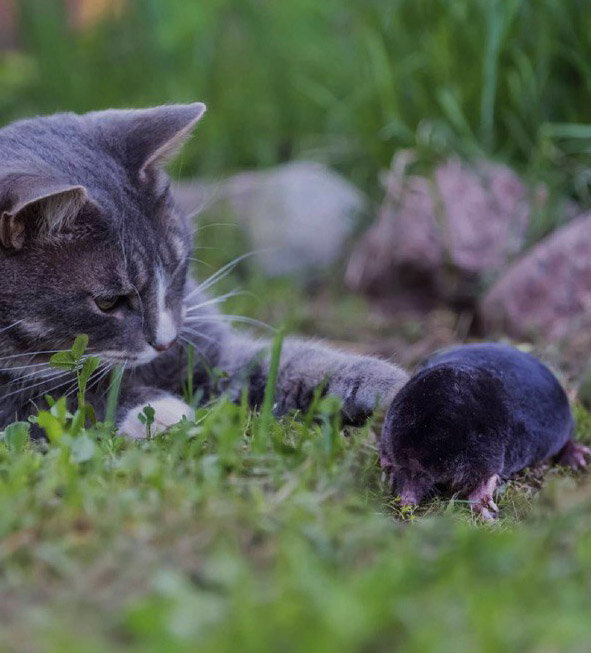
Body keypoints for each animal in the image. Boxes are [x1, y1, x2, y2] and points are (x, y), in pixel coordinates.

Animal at [0, 104, 408, 436]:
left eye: (177, 266)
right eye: (107, 302)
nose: (165, 342)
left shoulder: (211, 350)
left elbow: (287, 362)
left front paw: (389, 385)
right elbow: (60, 401)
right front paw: (158, 411)